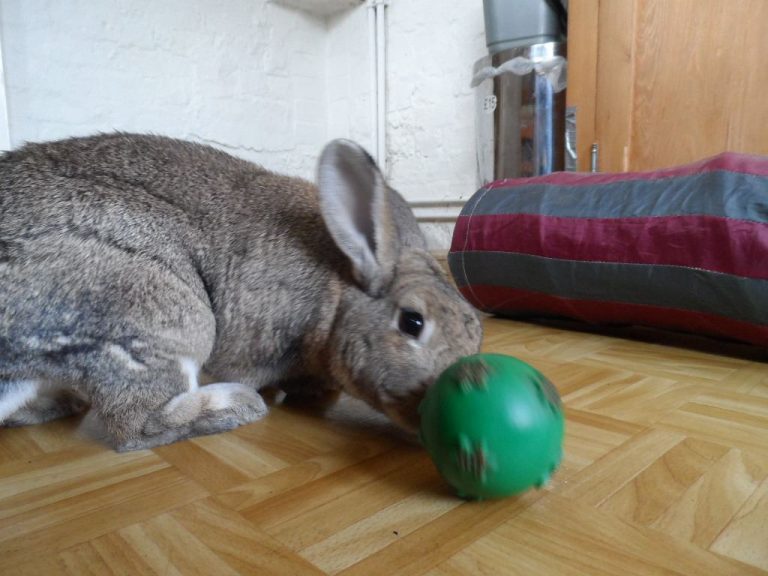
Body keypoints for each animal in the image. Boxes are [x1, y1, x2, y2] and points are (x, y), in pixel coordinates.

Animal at [0, 133, 482, 451]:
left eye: (476, 330)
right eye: (412, 322)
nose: (463, 391)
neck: (336, 291)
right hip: (165, 313)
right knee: (136, 426)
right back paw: (240, 404)